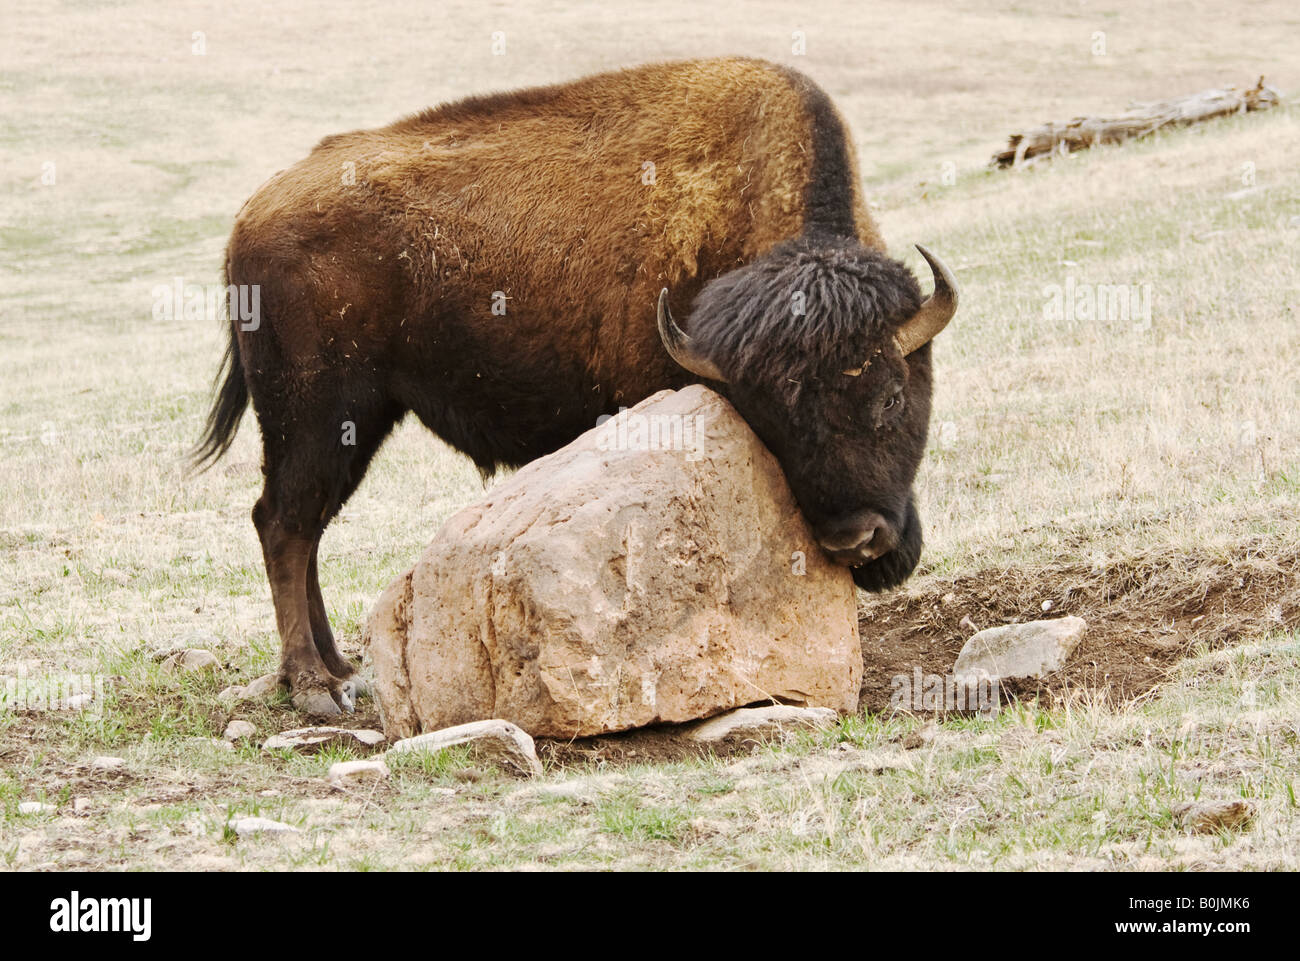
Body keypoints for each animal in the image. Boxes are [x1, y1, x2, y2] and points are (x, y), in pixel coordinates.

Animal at [194, 57, 959, 714]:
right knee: (284, 524)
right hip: (316, 416)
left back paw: (340, 671)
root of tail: (246, 220)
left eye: (893, 396)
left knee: (305, 525)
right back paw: (314, 686)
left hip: (359, 422)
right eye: (772, 420)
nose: (857, 541)